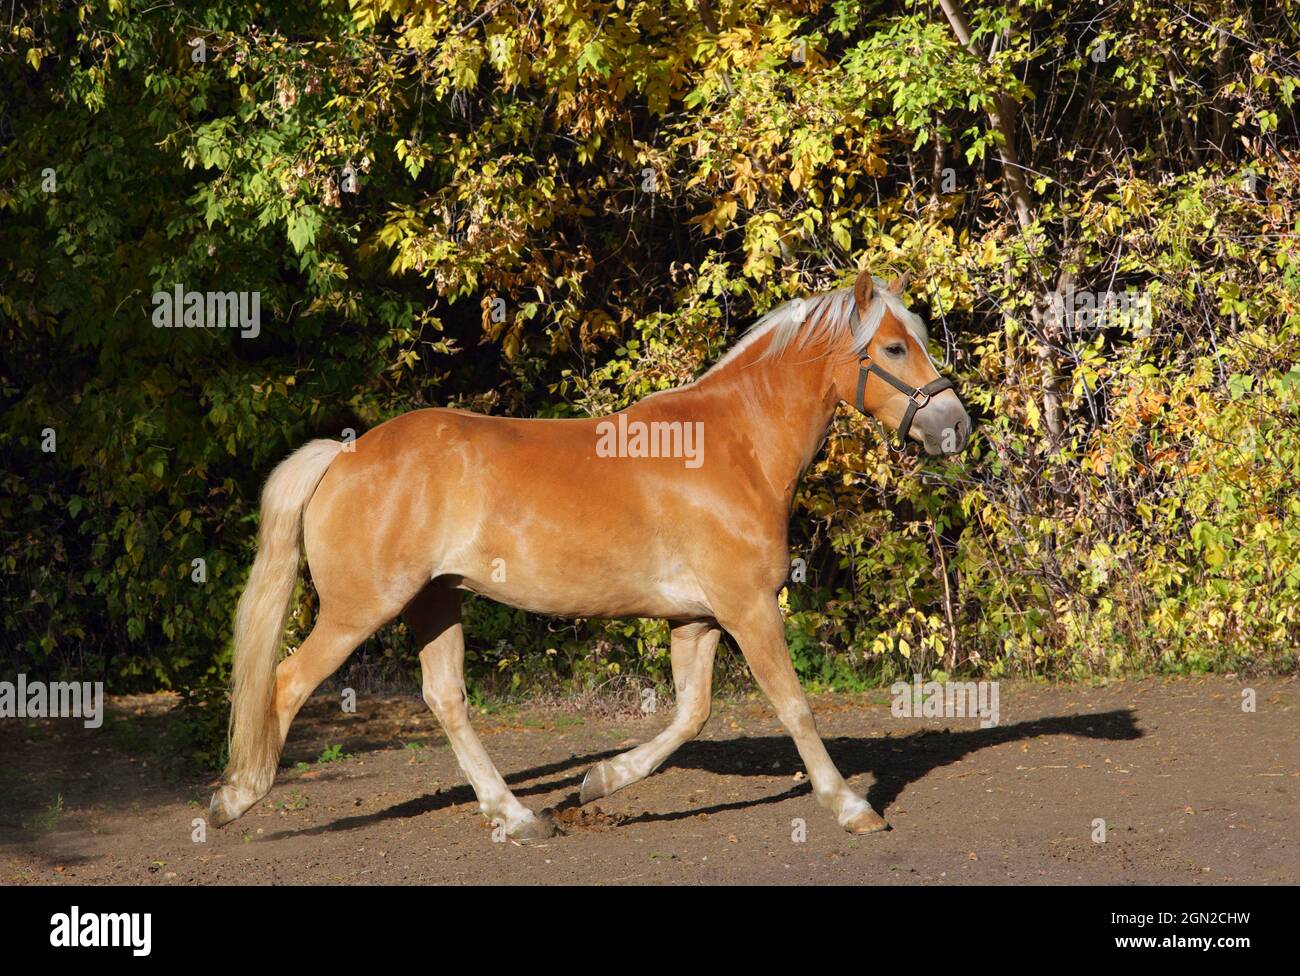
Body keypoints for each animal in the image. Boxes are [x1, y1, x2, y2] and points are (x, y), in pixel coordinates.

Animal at [209, 269, 971, 839]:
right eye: (894, 348)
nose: (955, 426)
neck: (739, 447)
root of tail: (344, 454)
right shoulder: (748, 608)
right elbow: (793, 706)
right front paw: (853, 807)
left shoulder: (695, 619)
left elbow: (691, 715)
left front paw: (596, 783)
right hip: (361, 608)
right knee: (285, 682)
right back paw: (235, 798)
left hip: (436, 601)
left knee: (445, 698)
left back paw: (519, 817)